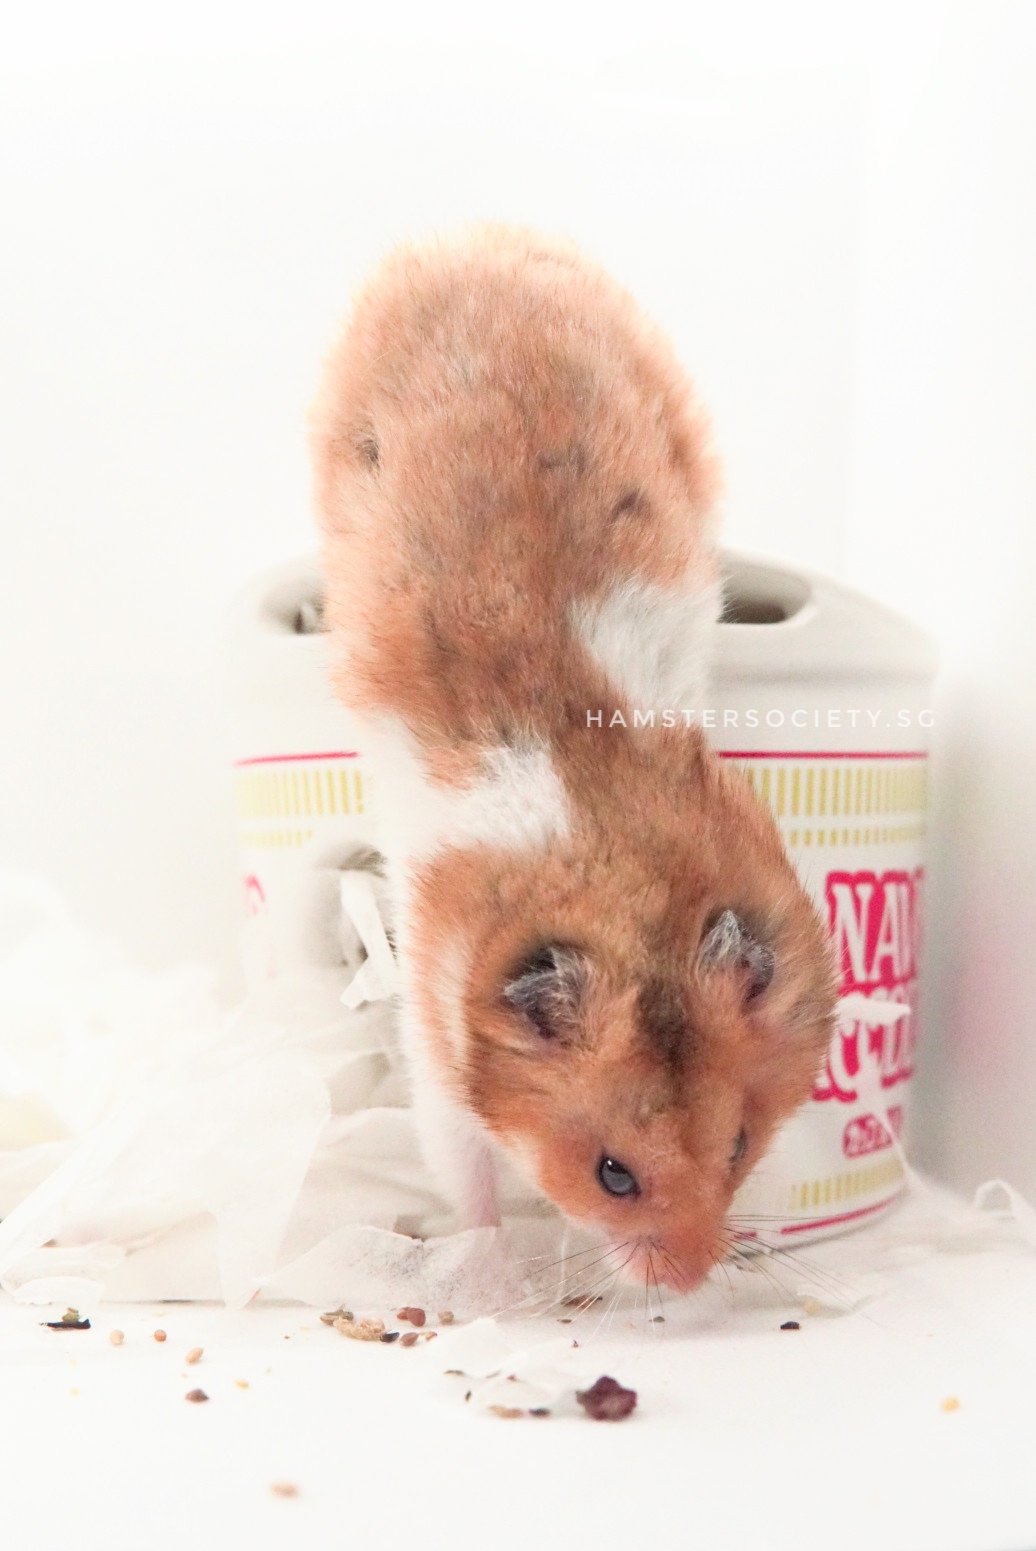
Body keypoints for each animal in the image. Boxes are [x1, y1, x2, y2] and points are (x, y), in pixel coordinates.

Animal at [310, 226, 837, 1293]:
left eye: (736, 1145)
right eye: (611, 1175)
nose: (689, 1283)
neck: (608, 862)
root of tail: (464, 241)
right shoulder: (436, 1061)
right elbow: (464, 1172)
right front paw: (486, 1280)